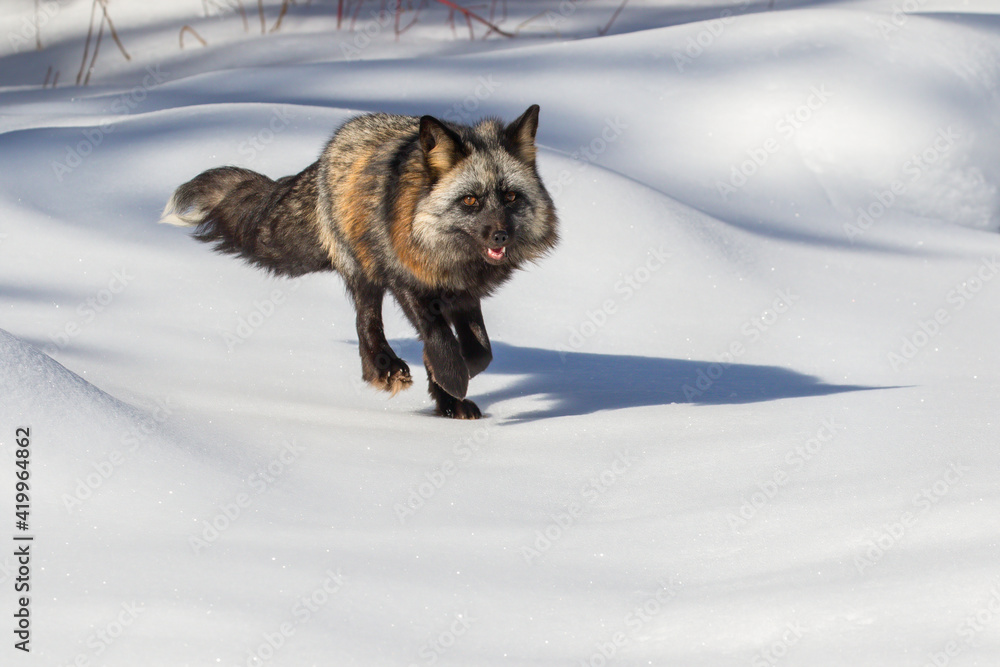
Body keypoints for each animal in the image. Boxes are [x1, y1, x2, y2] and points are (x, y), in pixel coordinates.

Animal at [160, 105, 558, 419]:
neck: (442, 248)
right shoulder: (404, 278)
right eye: (471, 201)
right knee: (365, 323)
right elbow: (439, 339)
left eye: (510, 197)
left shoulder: (463, 293)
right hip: (364, 270)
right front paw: (449, 376)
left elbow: (480, 352)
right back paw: (383, 370)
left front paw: (447, 385)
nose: (500, 236)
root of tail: (332, 146)